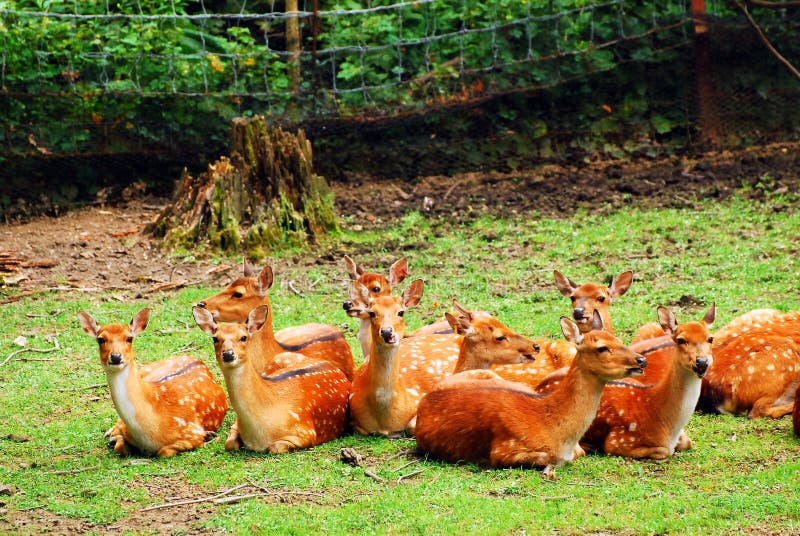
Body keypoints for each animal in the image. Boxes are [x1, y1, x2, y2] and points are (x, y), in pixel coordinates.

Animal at [77, 309, 228, 458]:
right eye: (100, 339)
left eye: (129, 338)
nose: (115, 357)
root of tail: (199, 361)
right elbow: (120, 447)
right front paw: (114, 439)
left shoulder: (192, 433)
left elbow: (163, 451)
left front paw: (207, 436)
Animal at [193, 305, 349, 452]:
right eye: (215, 338)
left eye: (243, 337)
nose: (228, 354)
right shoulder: (235, 424)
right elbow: (229, 444)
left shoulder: (306, 432)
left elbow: (275, 447)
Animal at [580, 304, 715, 459]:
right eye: (681, 340)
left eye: (710, 338)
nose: (702, 361)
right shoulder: (618, 440)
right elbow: (664, 451)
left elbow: (687, 442)